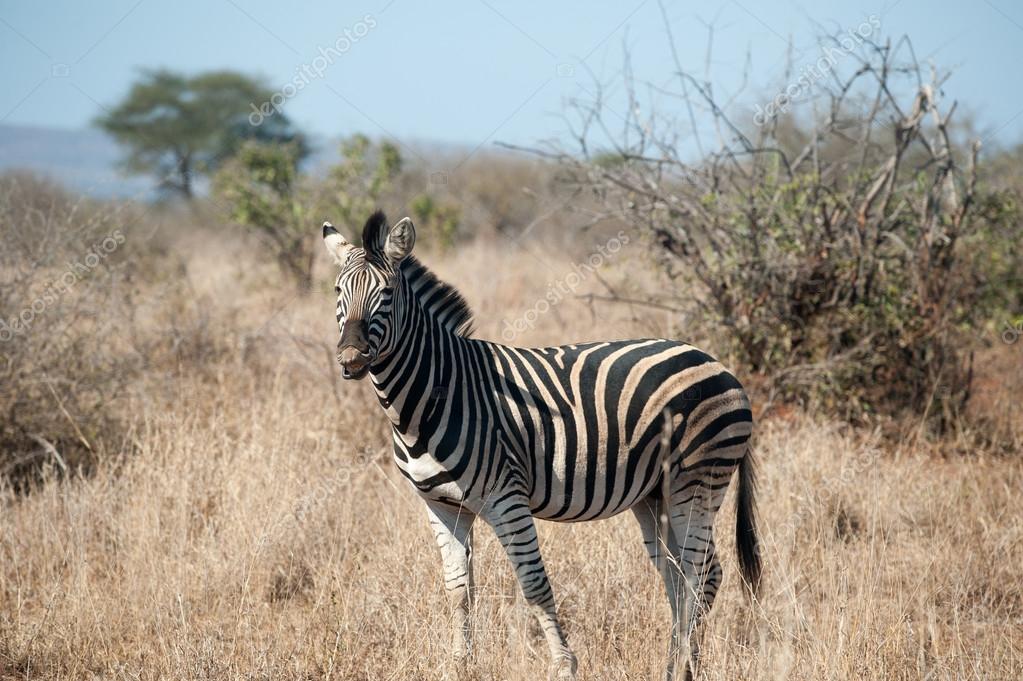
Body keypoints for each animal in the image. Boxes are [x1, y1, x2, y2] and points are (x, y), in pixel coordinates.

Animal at [323, 211, 761, 680]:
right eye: (338, 292)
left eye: (386, 294)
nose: (351, 359)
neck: (429, 398)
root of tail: (720, 366)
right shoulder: (441, 505)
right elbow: (459, 590)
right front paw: (460, 665)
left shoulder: (506, 497)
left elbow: (533, 585)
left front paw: (565, 665)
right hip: (654, 494)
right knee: (679, 576)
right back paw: (673, 664)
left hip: (696, 483)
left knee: (702, 575)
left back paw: (684, 668)